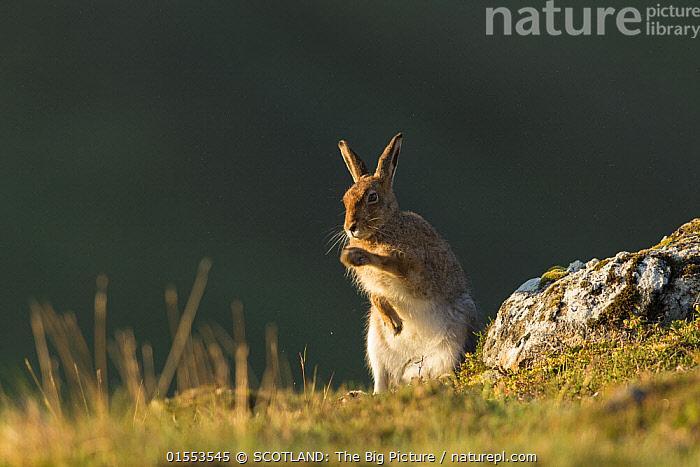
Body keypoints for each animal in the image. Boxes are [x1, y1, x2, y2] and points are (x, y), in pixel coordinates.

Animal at [338, 133, 478, 393]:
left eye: (372, 197)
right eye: (345, 199)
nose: (350, 227)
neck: (383, 228)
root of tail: (411, 368)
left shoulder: (414, 269)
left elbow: (389, 262)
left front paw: (355, 256)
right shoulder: (375, 287)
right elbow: (376, 296)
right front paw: (394, 324)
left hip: (455, 338)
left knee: (444, 372)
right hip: (374, 343)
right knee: (381, 382)